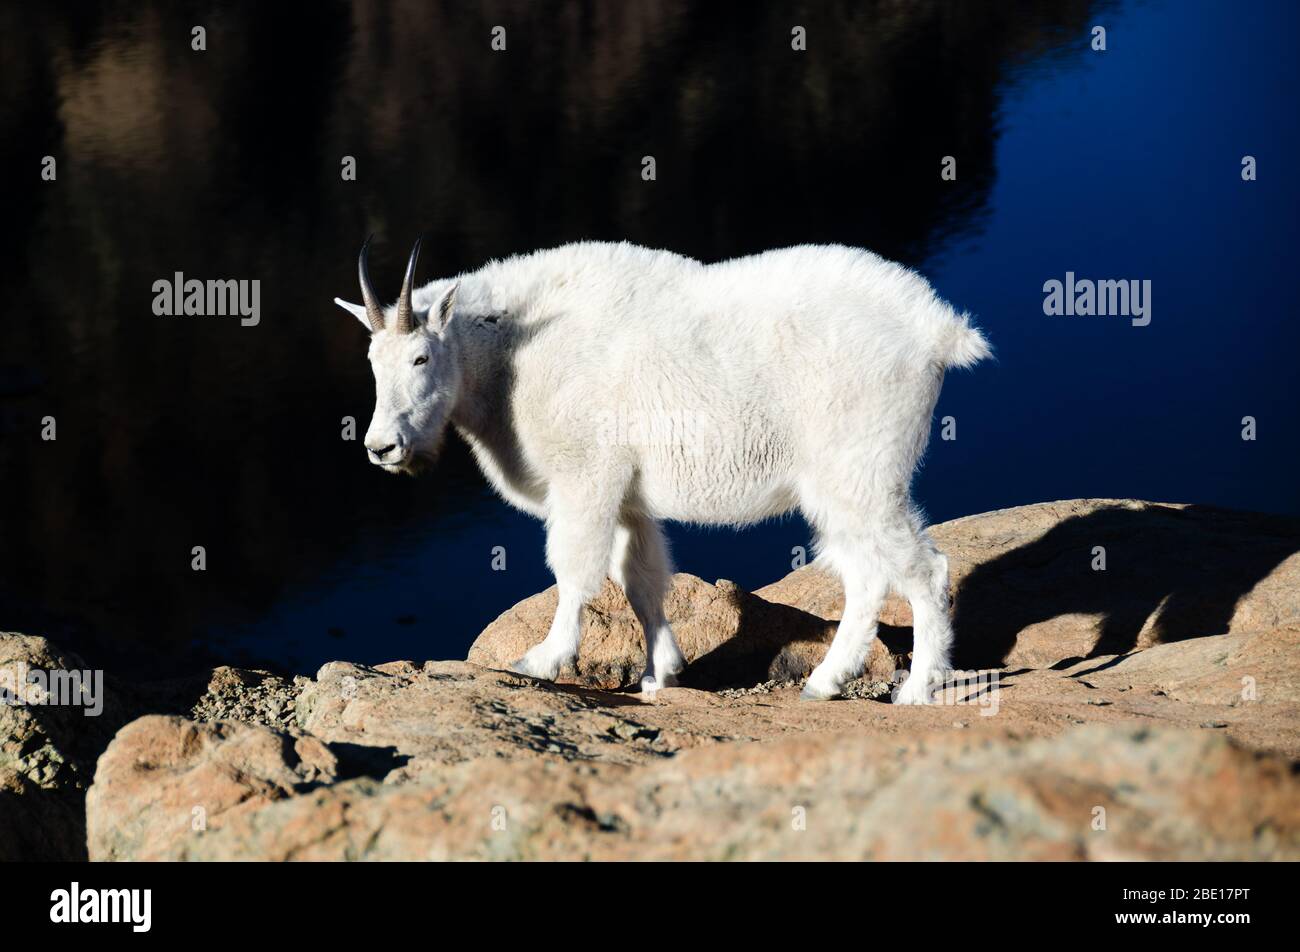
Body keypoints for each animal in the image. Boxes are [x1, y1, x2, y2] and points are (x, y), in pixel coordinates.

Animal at [335, 239, 990, 703]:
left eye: (421, 357)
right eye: (371, 362)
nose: (382, 448)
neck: (511, 355)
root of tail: (937, 330)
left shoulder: (585, 478)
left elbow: (574, 570)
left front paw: (543, 660)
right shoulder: (626, 496)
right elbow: (639, 577)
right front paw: (661, 674)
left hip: (862, 470)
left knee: (924, 569)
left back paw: (917, 688)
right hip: (836, 484)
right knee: (864, 573)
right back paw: (825, 682)